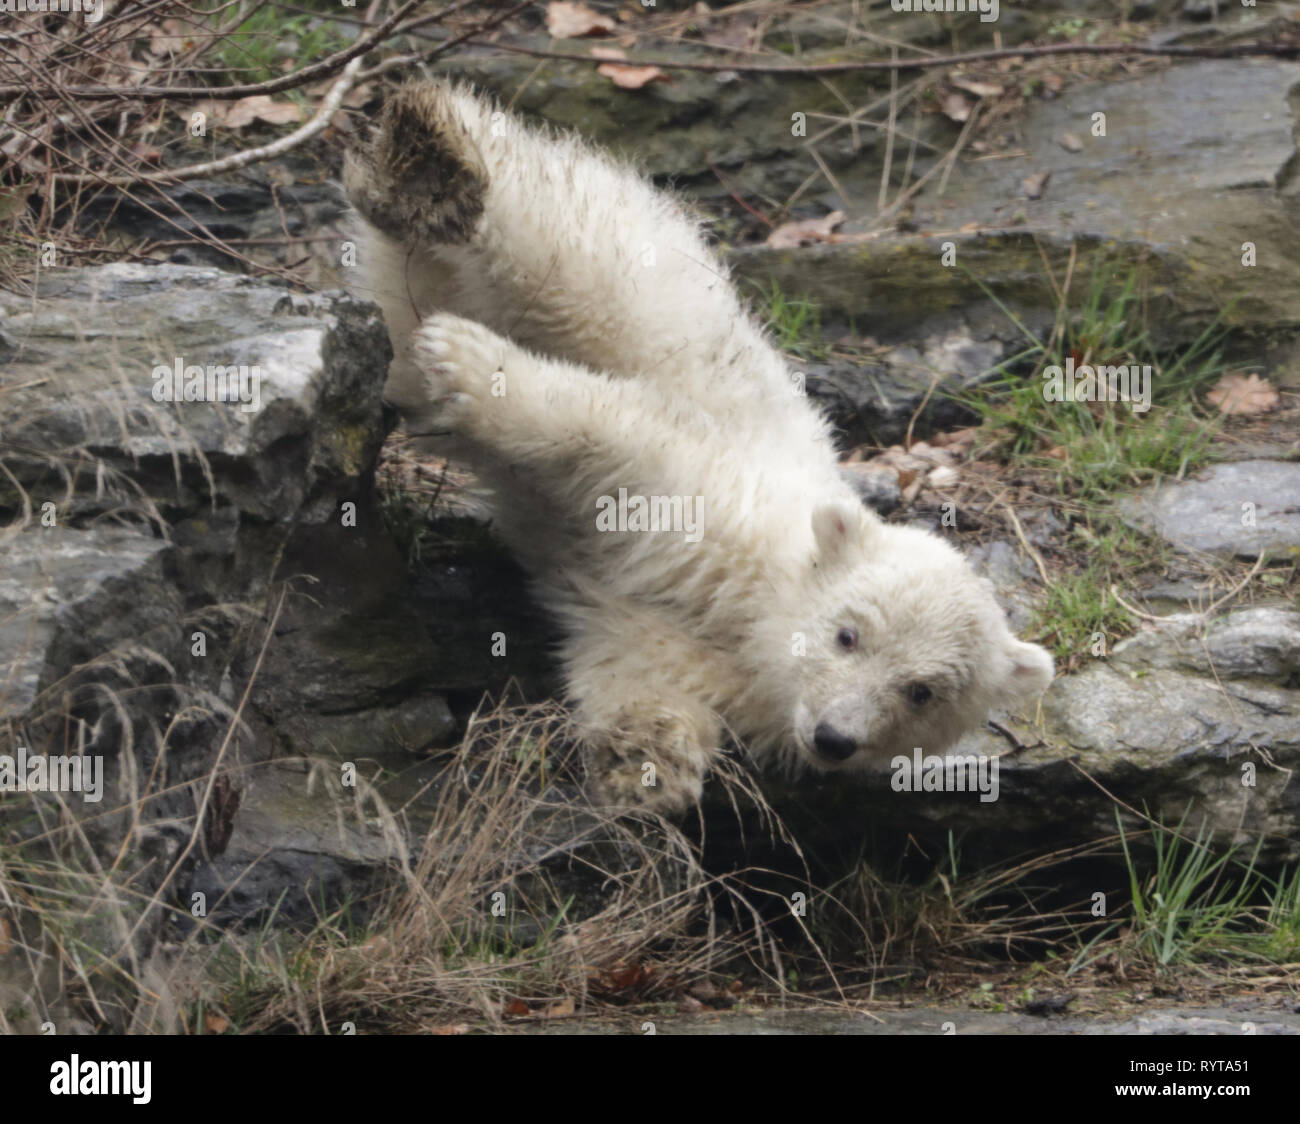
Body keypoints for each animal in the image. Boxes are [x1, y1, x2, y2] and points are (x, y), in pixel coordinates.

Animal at [343, 81, 1055, 813]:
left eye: (922, 692)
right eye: (848, 634)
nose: (834, 738)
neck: (758, 595)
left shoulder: (677, 642)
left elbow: (630, 664)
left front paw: (648, 759)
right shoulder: (713, 489)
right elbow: (618, 436)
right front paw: (474, 366)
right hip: (635, 280)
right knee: (550, 235)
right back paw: (430, 161)